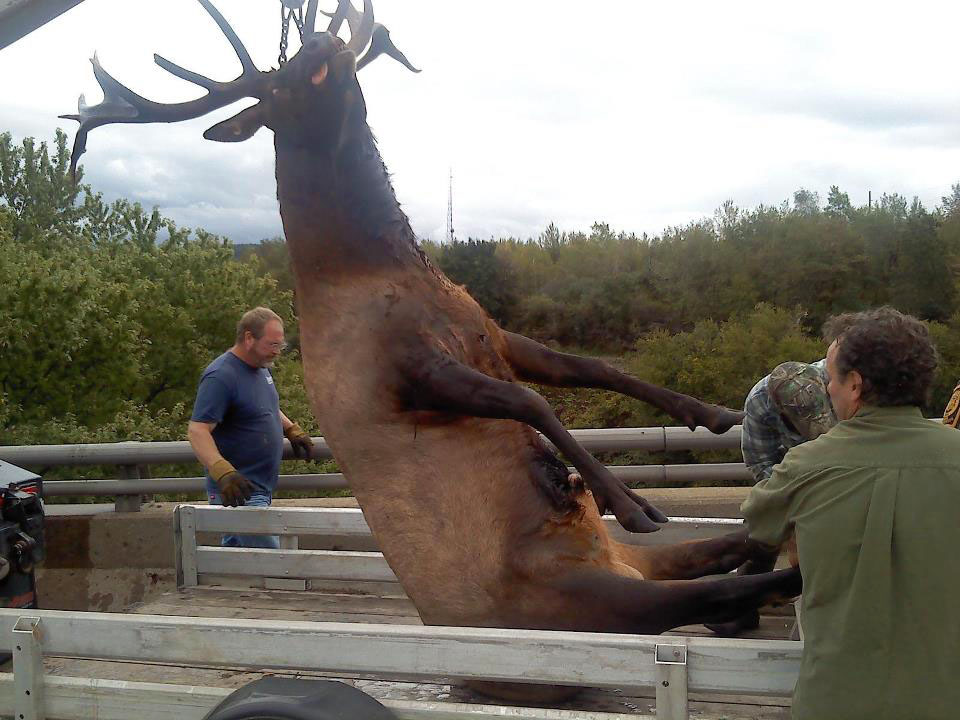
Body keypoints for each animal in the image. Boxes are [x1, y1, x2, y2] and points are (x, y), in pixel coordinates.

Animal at [64, 0, 800, 699]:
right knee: (716, 588)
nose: (321, 39)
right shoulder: (405, 372)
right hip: (583, 598)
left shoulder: (490, 332)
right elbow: (531, 402)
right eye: (281, 83)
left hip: (624, 571)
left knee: (734, 549)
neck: (379, 271)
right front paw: (633, 502)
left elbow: (589, 368)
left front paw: (710, 414)